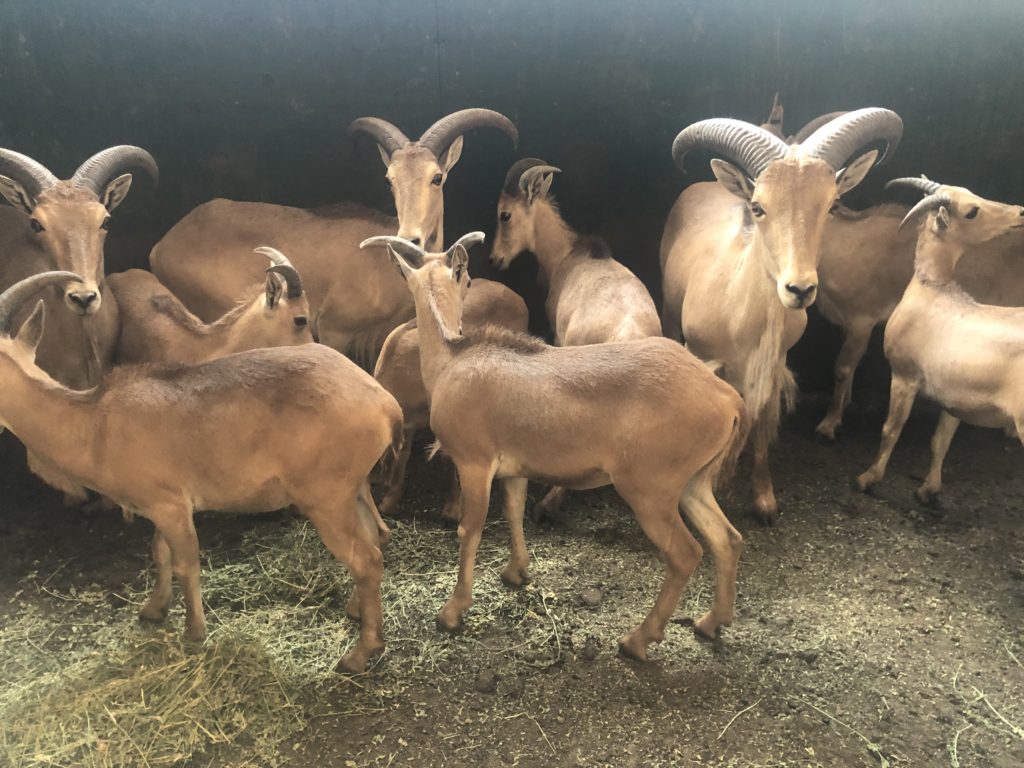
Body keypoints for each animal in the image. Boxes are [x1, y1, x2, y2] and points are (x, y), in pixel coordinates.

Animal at [0, 270, 403, 672]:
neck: (95, 423)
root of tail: (385, 404)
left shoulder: (170, 506)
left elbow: (186, 563)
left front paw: (193, 632)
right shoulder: (160, 506)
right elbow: (159, 552)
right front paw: (153, 609)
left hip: (326, 499)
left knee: (367, 559)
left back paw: (361, 652)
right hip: (351, 489)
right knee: (376, 538)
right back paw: (355, 610)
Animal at [150, 109, 517, 368]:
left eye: (437, 177)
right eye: (389, 179)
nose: (410, 238)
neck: (383, 272)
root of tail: (161, 245)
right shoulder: (334, 330)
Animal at [361, 233, 748, 662]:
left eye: (467, 279)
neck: (452, 359)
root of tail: (728, 399)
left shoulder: (474, 462)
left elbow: (470, 528)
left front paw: (452, 612)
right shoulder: (514, 468)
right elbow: (513, 511)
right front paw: (516, 571)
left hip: (651, 488)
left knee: (685, 553)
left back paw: (638, 639)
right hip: (694, 482)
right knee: (727, 538)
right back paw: (711, 621)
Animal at [661, 108, 903, 522]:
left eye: (831, 205)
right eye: (758, 207)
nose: (800, 289)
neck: (740, 314)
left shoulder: (773, 365)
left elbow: (761, 428)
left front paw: (764, 501)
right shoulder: (702, 355)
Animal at [854, 177, 1024, 501]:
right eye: (972, 210)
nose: (1020, 211)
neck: (932, 289)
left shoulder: (904, 376)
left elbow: (890, 429)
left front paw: (866, 478)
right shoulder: (954, 398)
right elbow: (941, 440)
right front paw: (928, 490)